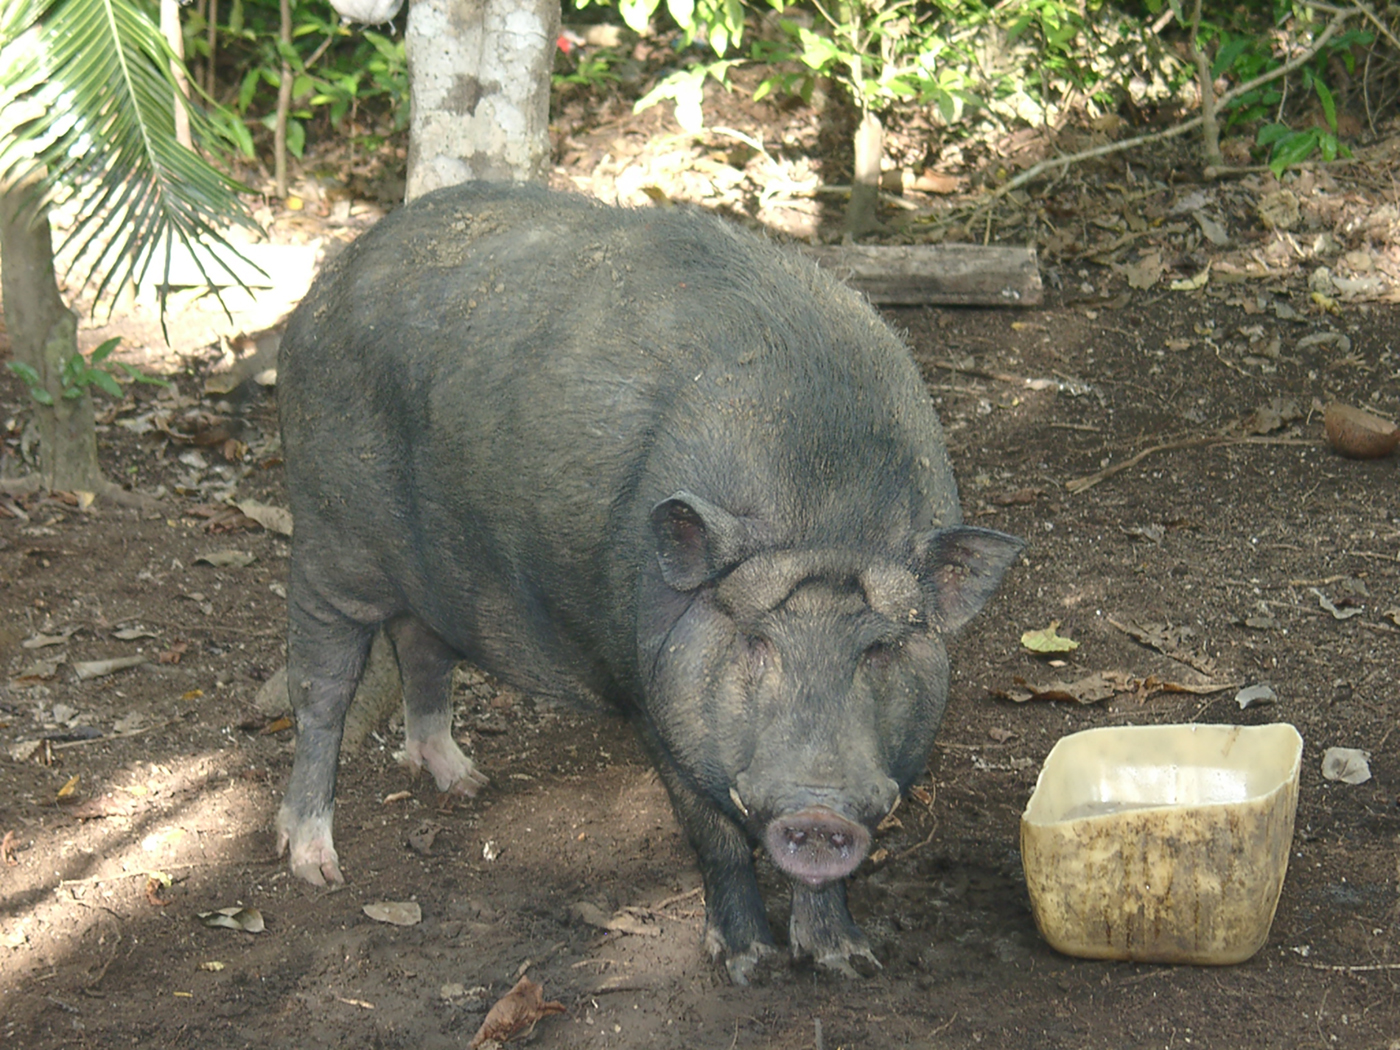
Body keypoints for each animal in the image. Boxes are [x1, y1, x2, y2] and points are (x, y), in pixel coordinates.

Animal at [274, 181, 1023, 984]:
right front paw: (746, 965)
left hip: (429, 574)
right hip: (326, 543)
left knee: (422, 646)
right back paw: (315, 864)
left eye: (879, 648)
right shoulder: (653, 697)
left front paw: (847, 961)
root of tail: (328, 282)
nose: (818, 811)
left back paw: (465, 779)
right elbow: (715, 839)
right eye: (753, 640)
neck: (824, 509)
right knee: (321, 693)